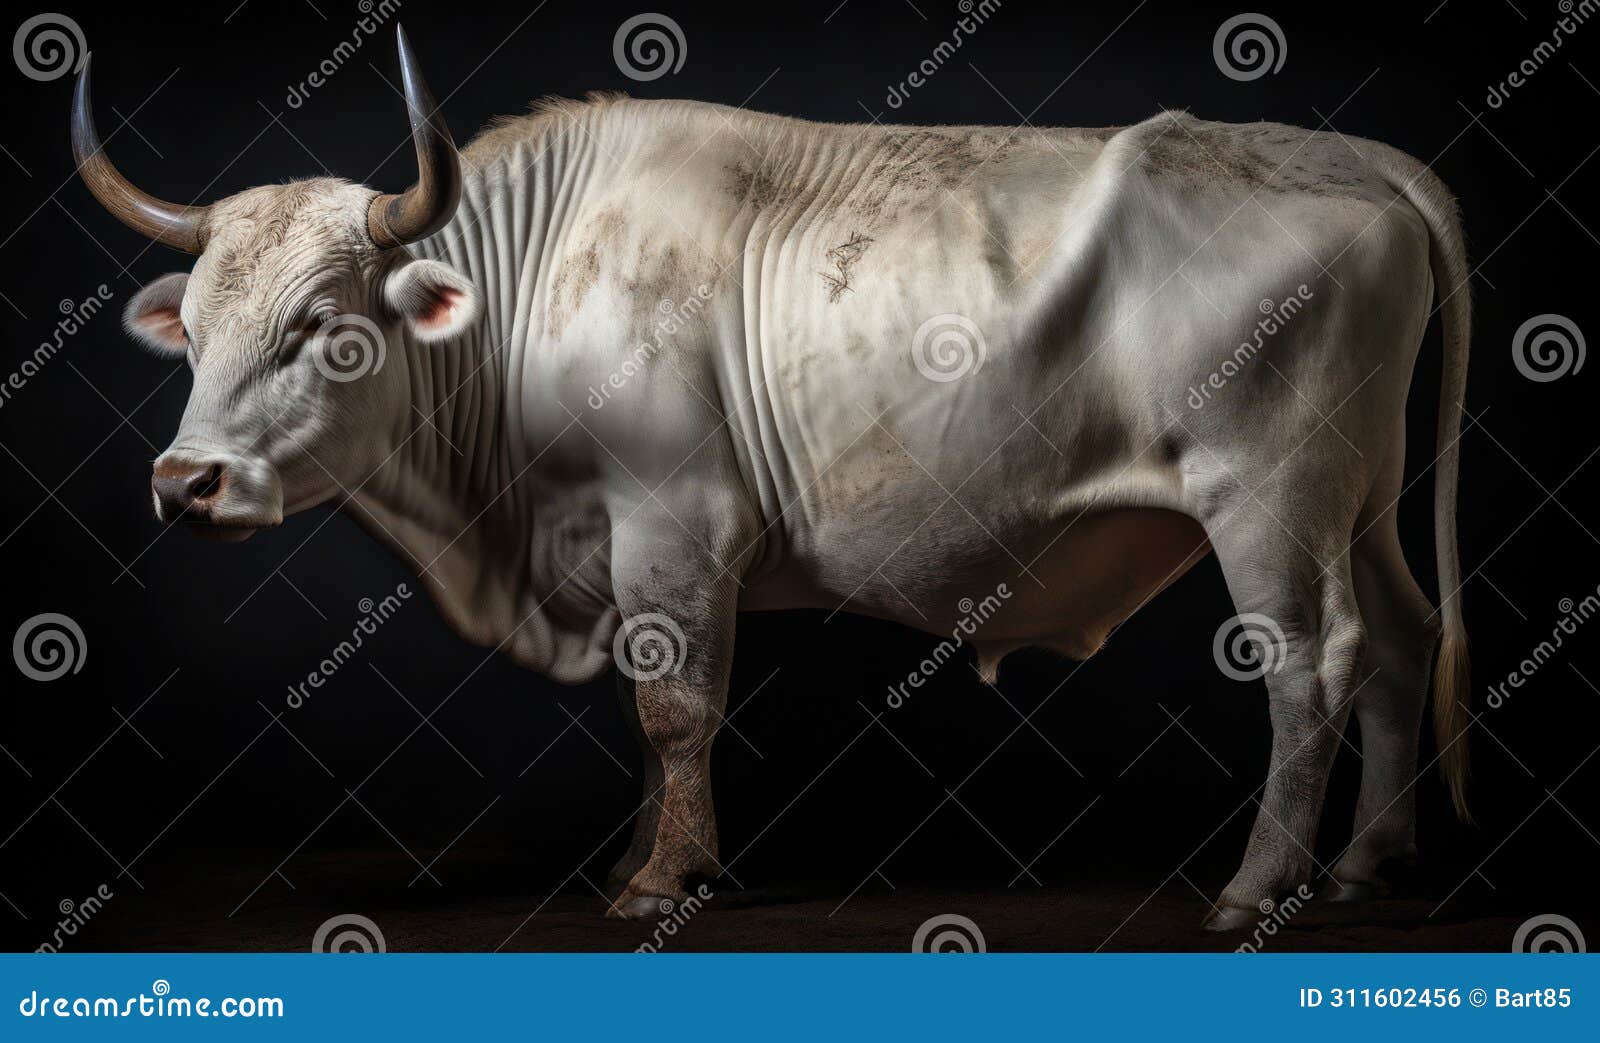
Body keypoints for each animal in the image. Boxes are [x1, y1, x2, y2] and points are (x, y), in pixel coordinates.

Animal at [74, 28, 1471, 928]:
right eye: (193, 328)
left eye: (323, 325)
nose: (185, 481)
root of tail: (1350, 156)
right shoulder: (628, 552)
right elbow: (649, 708)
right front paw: (647, 858)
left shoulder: (672, 523)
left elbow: (675, 706)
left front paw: (661, 880)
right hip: (1365, 499)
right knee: (1406, 637)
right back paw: (1369, 858)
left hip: (1269, 496)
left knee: (1312, 661)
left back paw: (1257, 885)